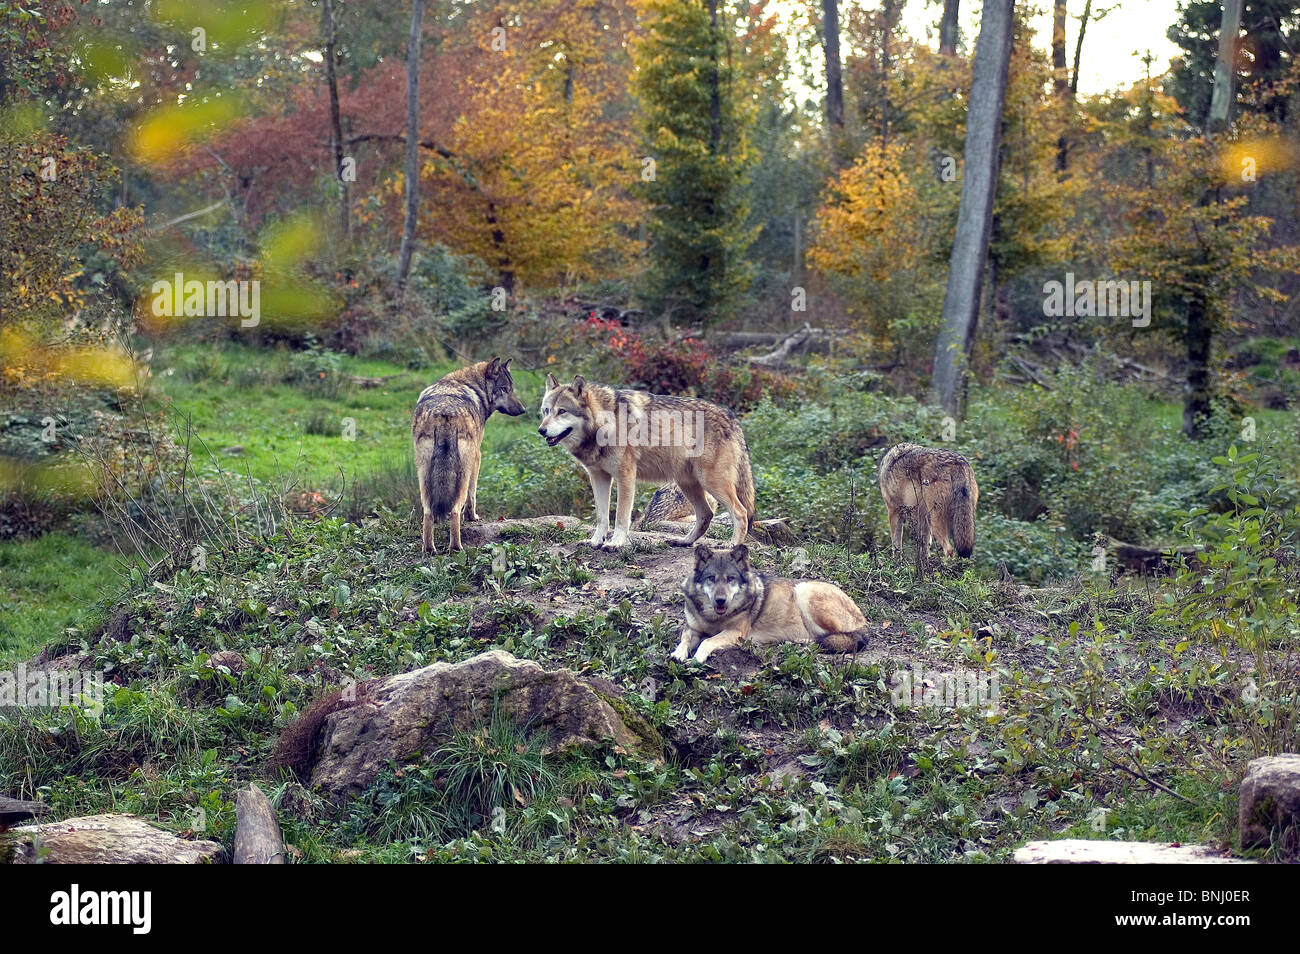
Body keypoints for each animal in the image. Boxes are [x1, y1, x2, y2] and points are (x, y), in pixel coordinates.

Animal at [412, 356, 525, 553]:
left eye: (511, 389)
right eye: (504, 389)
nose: (523, 409)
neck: (474, 388)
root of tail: (445, 414)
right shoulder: (477, 457)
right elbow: (472, 496)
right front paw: (473, 517)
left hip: (424, 477)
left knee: (428, 513)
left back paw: (429, 550)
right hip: (462, 476)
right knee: (455, 511)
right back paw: (456, 548)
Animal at [538, 374, 754, 550]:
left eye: (562, 411)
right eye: (546, 411)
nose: (541, 430)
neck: (605, 424)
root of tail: (733, 418)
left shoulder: (625, 476)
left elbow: (621, 516)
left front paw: (615, 543)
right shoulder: (598, 477)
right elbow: (601, 516)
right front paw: (595, 541)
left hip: (711, 483)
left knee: (740, 512)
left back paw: (733, 545)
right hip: (688, 485)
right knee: (706, 515)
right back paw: (684, 541)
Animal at [671, 545, 869, 664]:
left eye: (730, 579)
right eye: (711, 578)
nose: (721, 600)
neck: (714, 618)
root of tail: (863, 619)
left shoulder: (735, 632)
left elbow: (708, 641)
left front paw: (697, 658)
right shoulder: (693, 629)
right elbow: (684, 639)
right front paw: (678, 654)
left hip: (803, 591)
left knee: (834, 638)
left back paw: (796, 641)